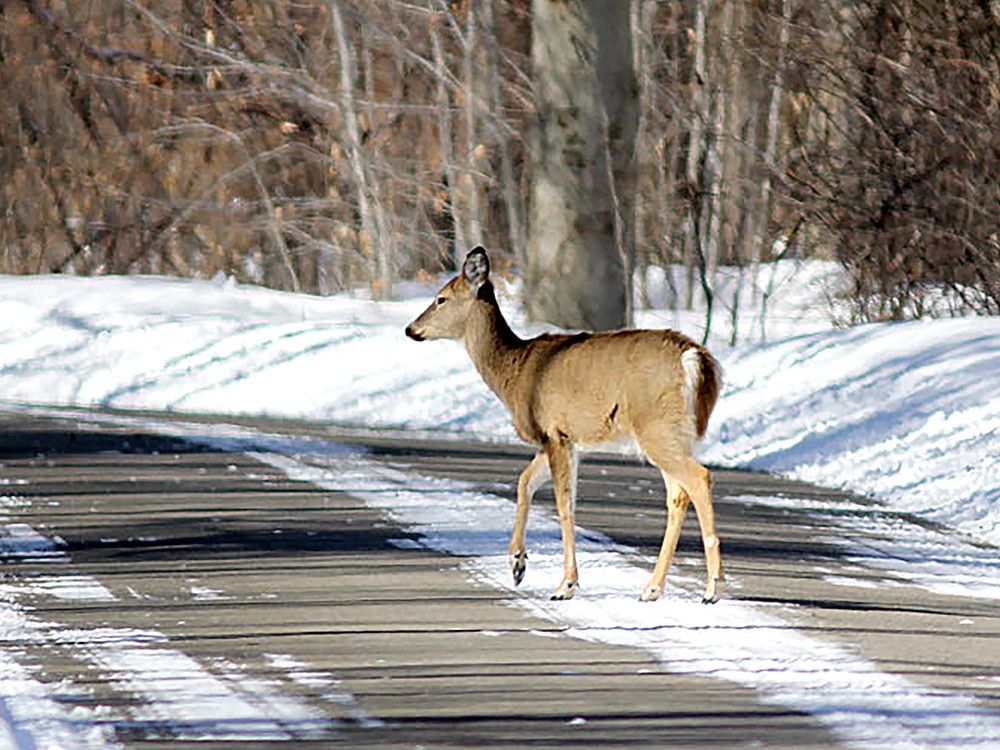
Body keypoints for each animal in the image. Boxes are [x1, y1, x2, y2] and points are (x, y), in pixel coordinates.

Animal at [405, 247, 724, 603]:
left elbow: (563, 504)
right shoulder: (567, 441)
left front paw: (565, 584)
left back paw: (712, 587)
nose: (410, 329)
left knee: (699, 479)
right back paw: (652, 588)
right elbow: (525, 482)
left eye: (441, 298)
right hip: (674, 434)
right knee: (678, 496)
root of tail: (695, 358)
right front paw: (517, 564)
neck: (515, 370)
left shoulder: (552, 432)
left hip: (657, 427)